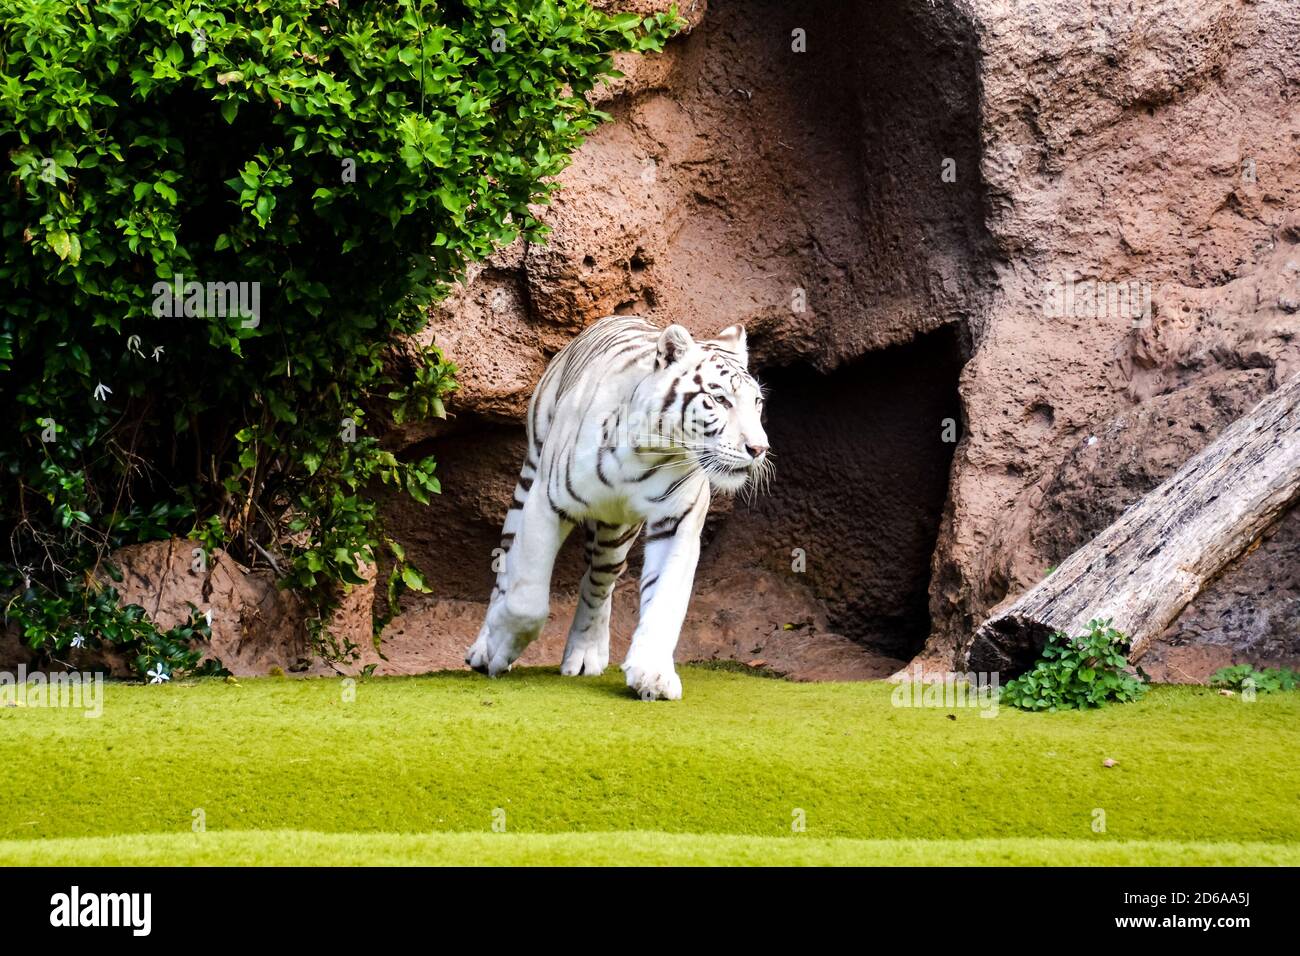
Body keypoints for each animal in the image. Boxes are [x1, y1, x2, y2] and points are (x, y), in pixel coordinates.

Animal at [464, 316, 772, 700]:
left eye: (757, 402)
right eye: (719, 399)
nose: (759, 449)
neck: (652, 451)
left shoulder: (677, 524)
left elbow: (665, 602)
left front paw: (652, 674)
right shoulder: (546, 503)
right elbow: (526, 600)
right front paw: (500, 649)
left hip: (617, 530)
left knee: (598, 582)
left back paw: (585, 654)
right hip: (528, 480)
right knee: (506, 569)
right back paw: (483, 645)